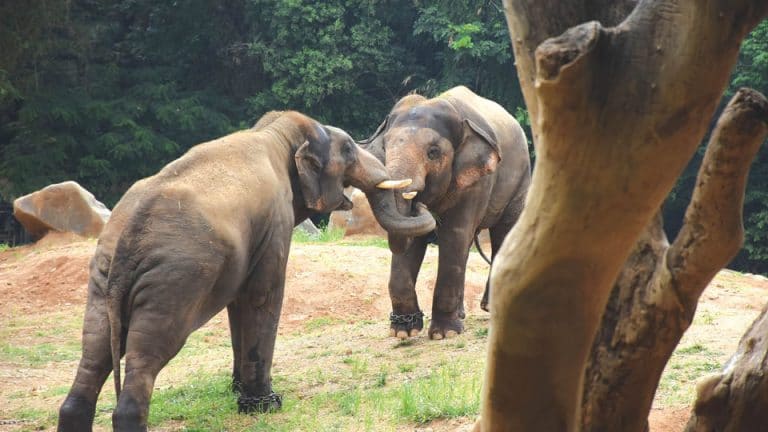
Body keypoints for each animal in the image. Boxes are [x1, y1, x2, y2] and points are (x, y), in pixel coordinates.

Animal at [57, 110, 436, 432]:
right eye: (348, 150)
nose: (418, 198)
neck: (276, 132)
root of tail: (129, 235)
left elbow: (239, 303)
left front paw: (239, 390)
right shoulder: (275, 222)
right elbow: (262, 296)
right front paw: (266, 405)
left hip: (103, 276)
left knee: (93, 354)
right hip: (172, 281)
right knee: (147, 356)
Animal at [360, 86, 531, 340]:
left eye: (433, 152)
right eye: (384, 148)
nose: (419, 204)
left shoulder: (477, 180)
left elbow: (454, 235)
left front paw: (444, 334)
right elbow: (414, 240)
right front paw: (404, 332)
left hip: (520, 179)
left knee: (503, 232)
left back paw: (490, 307)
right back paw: (461, 314)